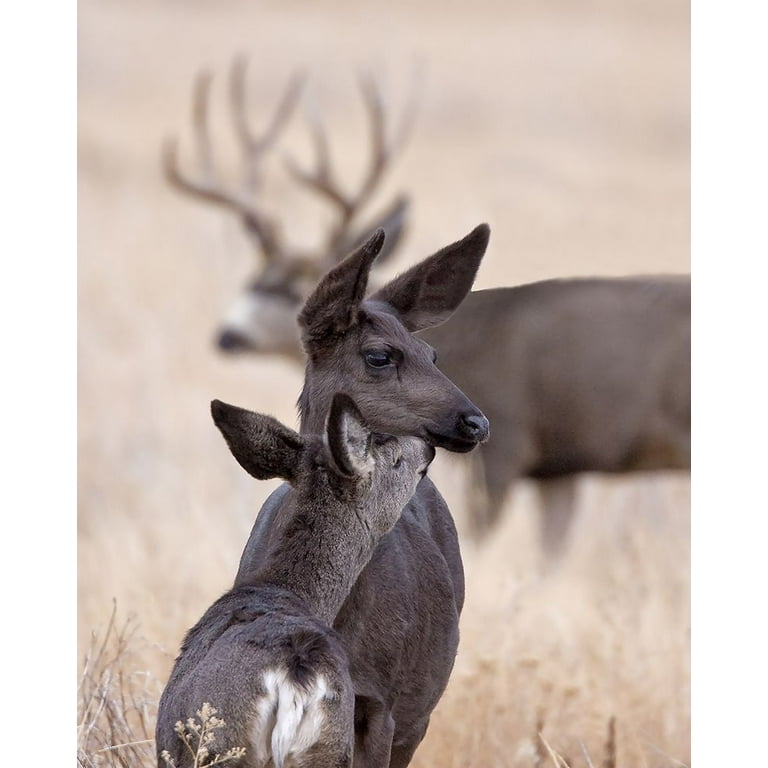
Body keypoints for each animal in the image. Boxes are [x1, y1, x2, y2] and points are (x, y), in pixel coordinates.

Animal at [156, 392, 435, 768]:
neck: (283, 588)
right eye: (396, 458)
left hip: (223, 745)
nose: (428, 447)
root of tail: (295, 678)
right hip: (330, 747)